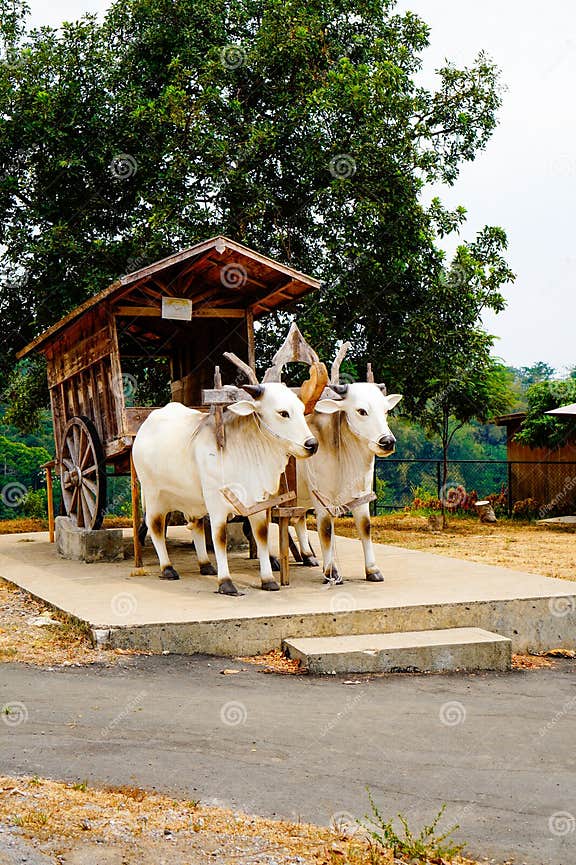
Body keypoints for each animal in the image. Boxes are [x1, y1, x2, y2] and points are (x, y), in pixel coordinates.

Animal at [132, 383, 318, 595]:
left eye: (302, 410)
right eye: (283, 413)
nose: (312, 444)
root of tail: (146, 426)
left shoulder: (258, 505)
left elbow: (261, 535)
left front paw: (268, 579)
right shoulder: (217, 505)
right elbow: (219, 538)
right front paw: (226, 582)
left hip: (191, 500)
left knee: (196, 525)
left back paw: (205, 565)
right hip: (154, 495)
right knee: (154, 527)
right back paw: (167, 568)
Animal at [293, 382, 402, 584]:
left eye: (386, 411)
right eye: (361, 411)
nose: (387, 441)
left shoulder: (362, 494)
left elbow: (365, 526)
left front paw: (373, 570)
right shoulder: (321, 497)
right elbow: (326, 530)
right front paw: (331, 572)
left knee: (298, 519)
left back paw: (308, 556)